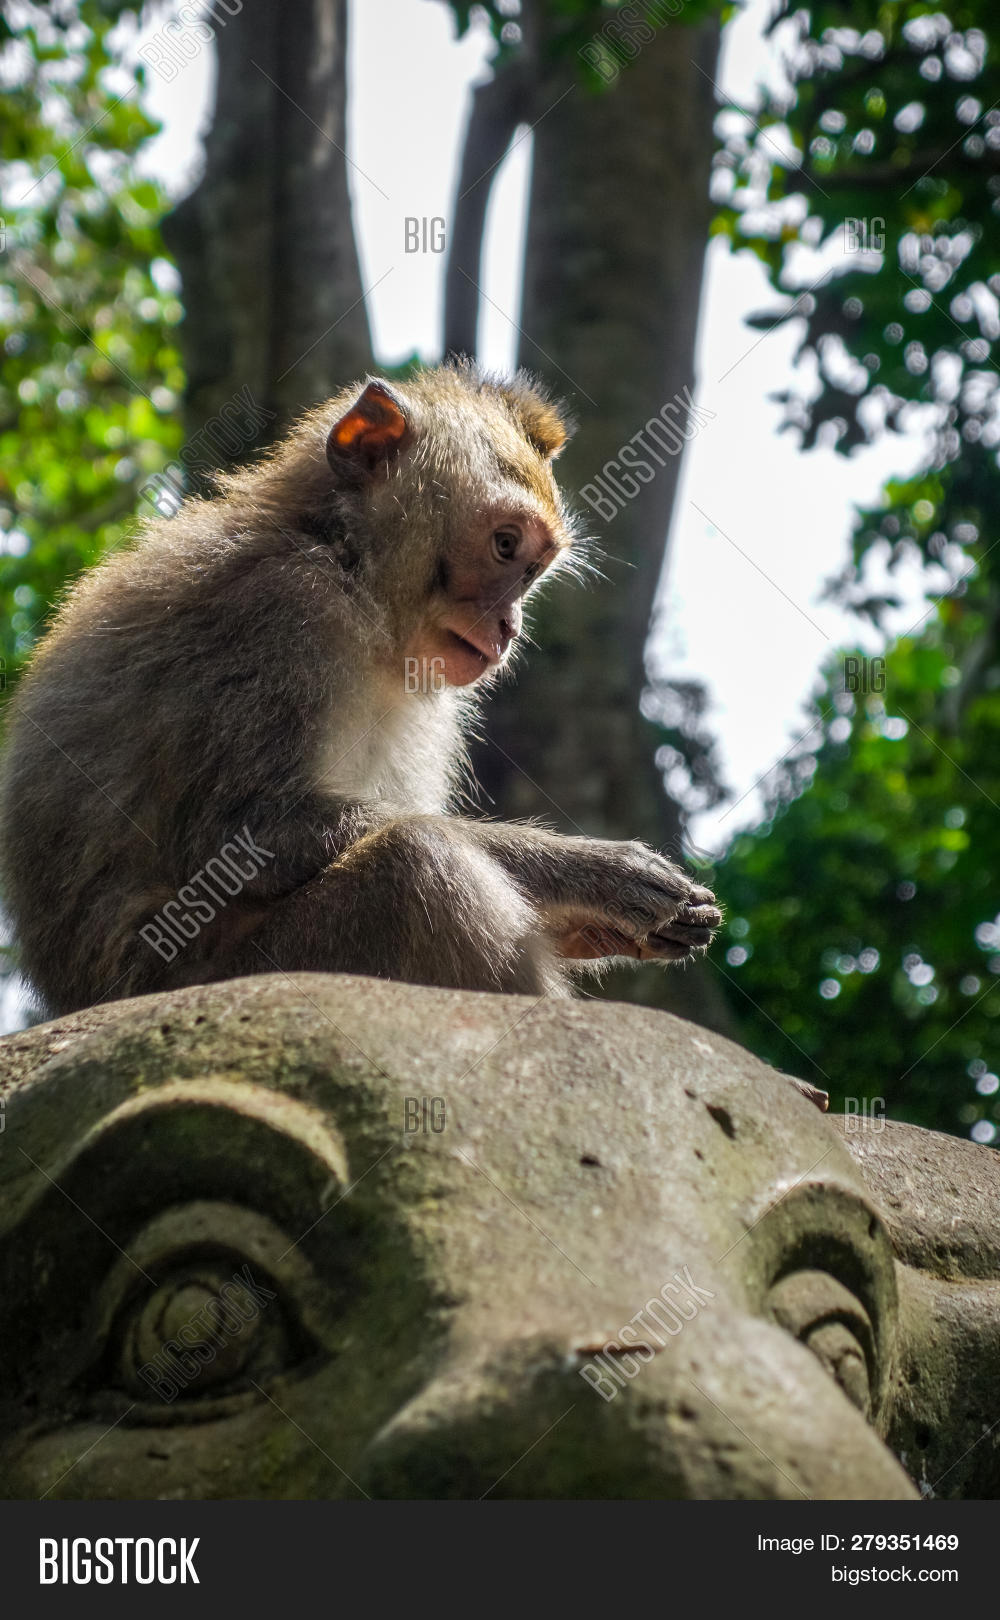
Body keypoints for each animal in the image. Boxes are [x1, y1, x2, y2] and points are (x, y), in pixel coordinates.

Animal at [0, 362, 722, 1020]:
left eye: (532, 570)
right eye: (504, 545)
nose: (509, 627)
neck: (344, 561)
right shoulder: (280, 611)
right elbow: (243, 832)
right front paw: (590, 873)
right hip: (237, 974)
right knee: (420, 864)